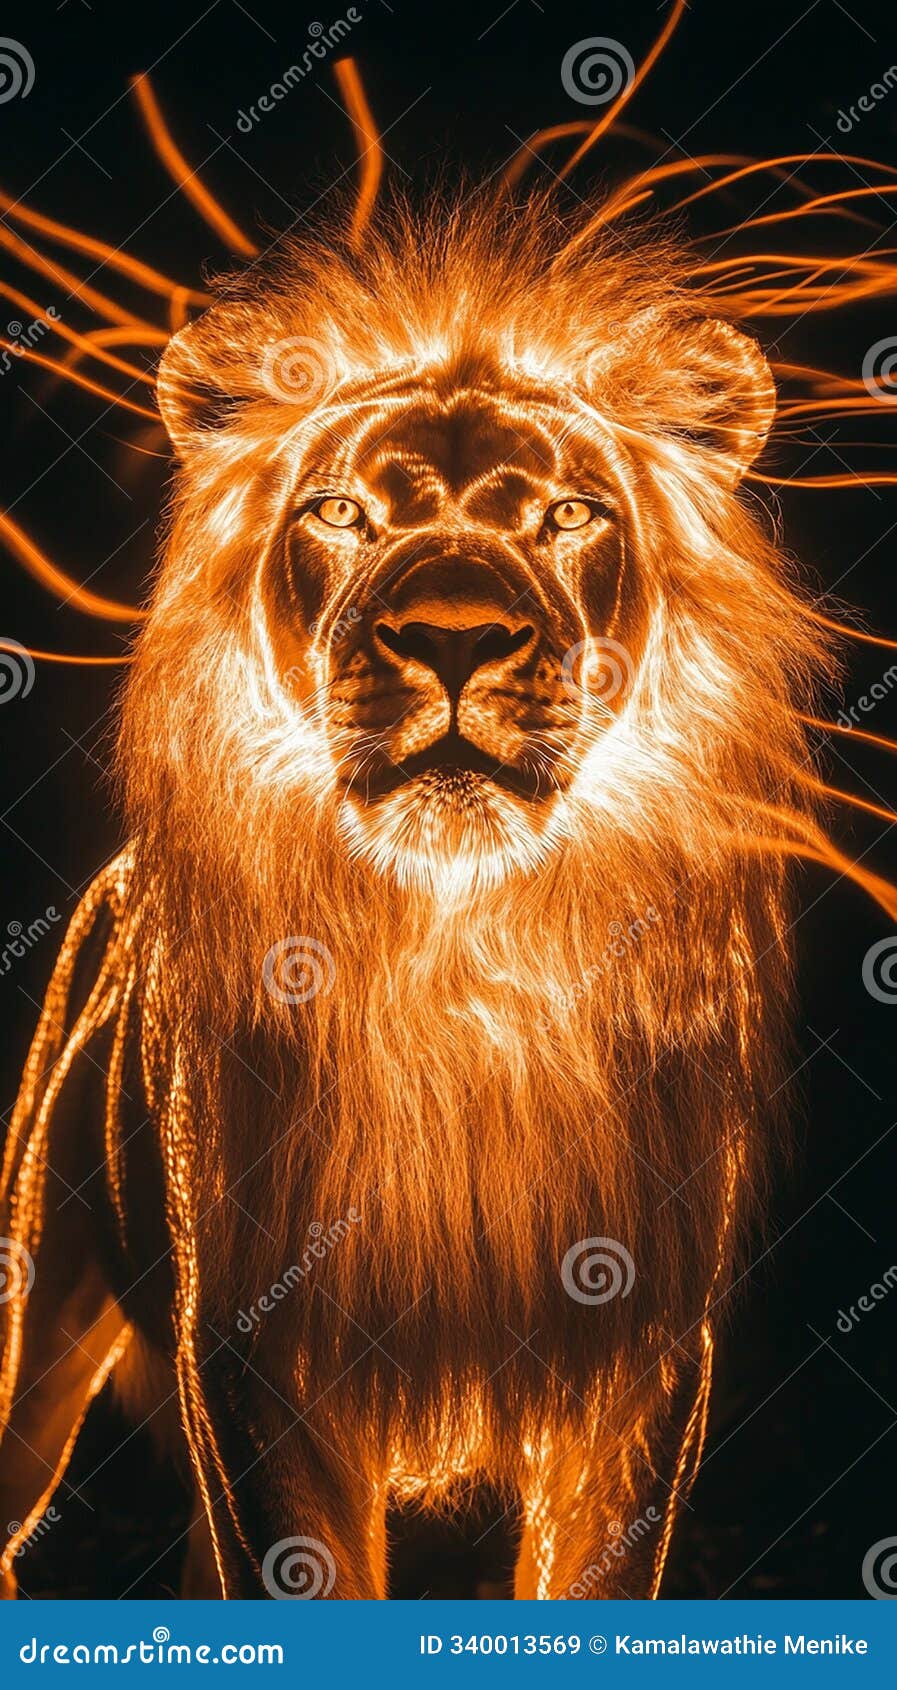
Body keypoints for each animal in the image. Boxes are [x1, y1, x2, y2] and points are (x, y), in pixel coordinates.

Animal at [0, 194, 831, 1600]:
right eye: (341, 513)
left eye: (569, 516)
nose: (454, 632)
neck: (461, 947)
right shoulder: (255, 1349)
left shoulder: (640, 1361)